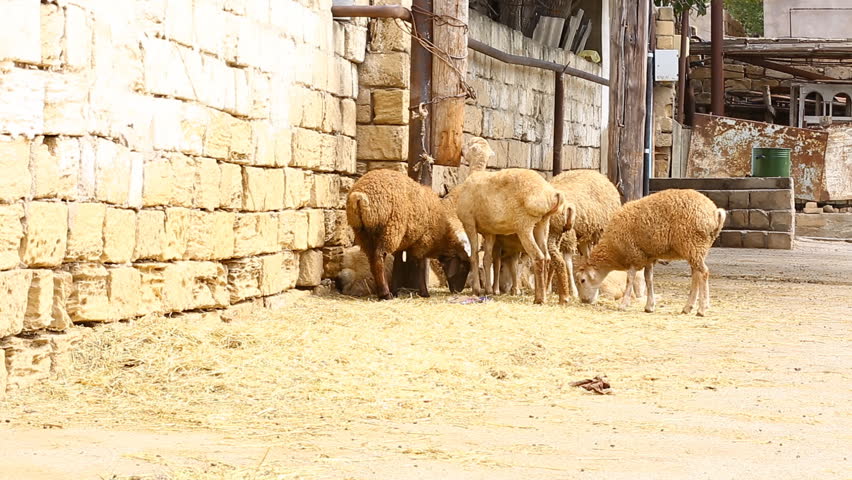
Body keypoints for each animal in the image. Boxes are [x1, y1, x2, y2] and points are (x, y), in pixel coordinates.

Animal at [346, 169, 472, 300]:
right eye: (463, 267)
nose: (458, 290)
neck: (441, 235)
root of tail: (359, 197)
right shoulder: (423, 242)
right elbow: (420, 266)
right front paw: (424, 292)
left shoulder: (404, 242)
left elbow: (398, 263)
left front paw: (396, 290)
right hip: (391, 230)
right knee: (378, 259)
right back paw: (386, 294)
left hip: (364, 234)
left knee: (372, 260)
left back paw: (383, 292)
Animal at [453, 168, 568, 304]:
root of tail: (553, 194)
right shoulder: (489, 232)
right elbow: (488, 259)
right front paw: (489, 290)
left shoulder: (469, 223)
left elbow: (474, 256)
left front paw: (476, 290)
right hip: (543, 224)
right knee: (546, 257)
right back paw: (542, 295)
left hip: (525, 225)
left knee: (538, 257)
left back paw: (539, 299)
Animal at [545, 170, 622, 303]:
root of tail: (600, 175)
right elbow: (552, 262)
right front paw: (548, 289)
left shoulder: (568, 238)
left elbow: (568, 264)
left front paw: (573, 292)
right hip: (585, 237)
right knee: (587, 257)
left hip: (600, 232)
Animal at [575, 189, 727, 316]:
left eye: (582, 280)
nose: (584, 301)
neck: (613, 249)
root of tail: (715, 212)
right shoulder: (647, 256)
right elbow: (649, 279)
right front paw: (649, 306)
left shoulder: (633, 255)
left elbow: (630, 279)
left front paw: (623, 304)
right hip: (696, 248)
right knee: (696, 274)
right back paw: (688, 307)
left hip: (693, 243)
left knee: (704, 273)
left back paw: (702, 309)